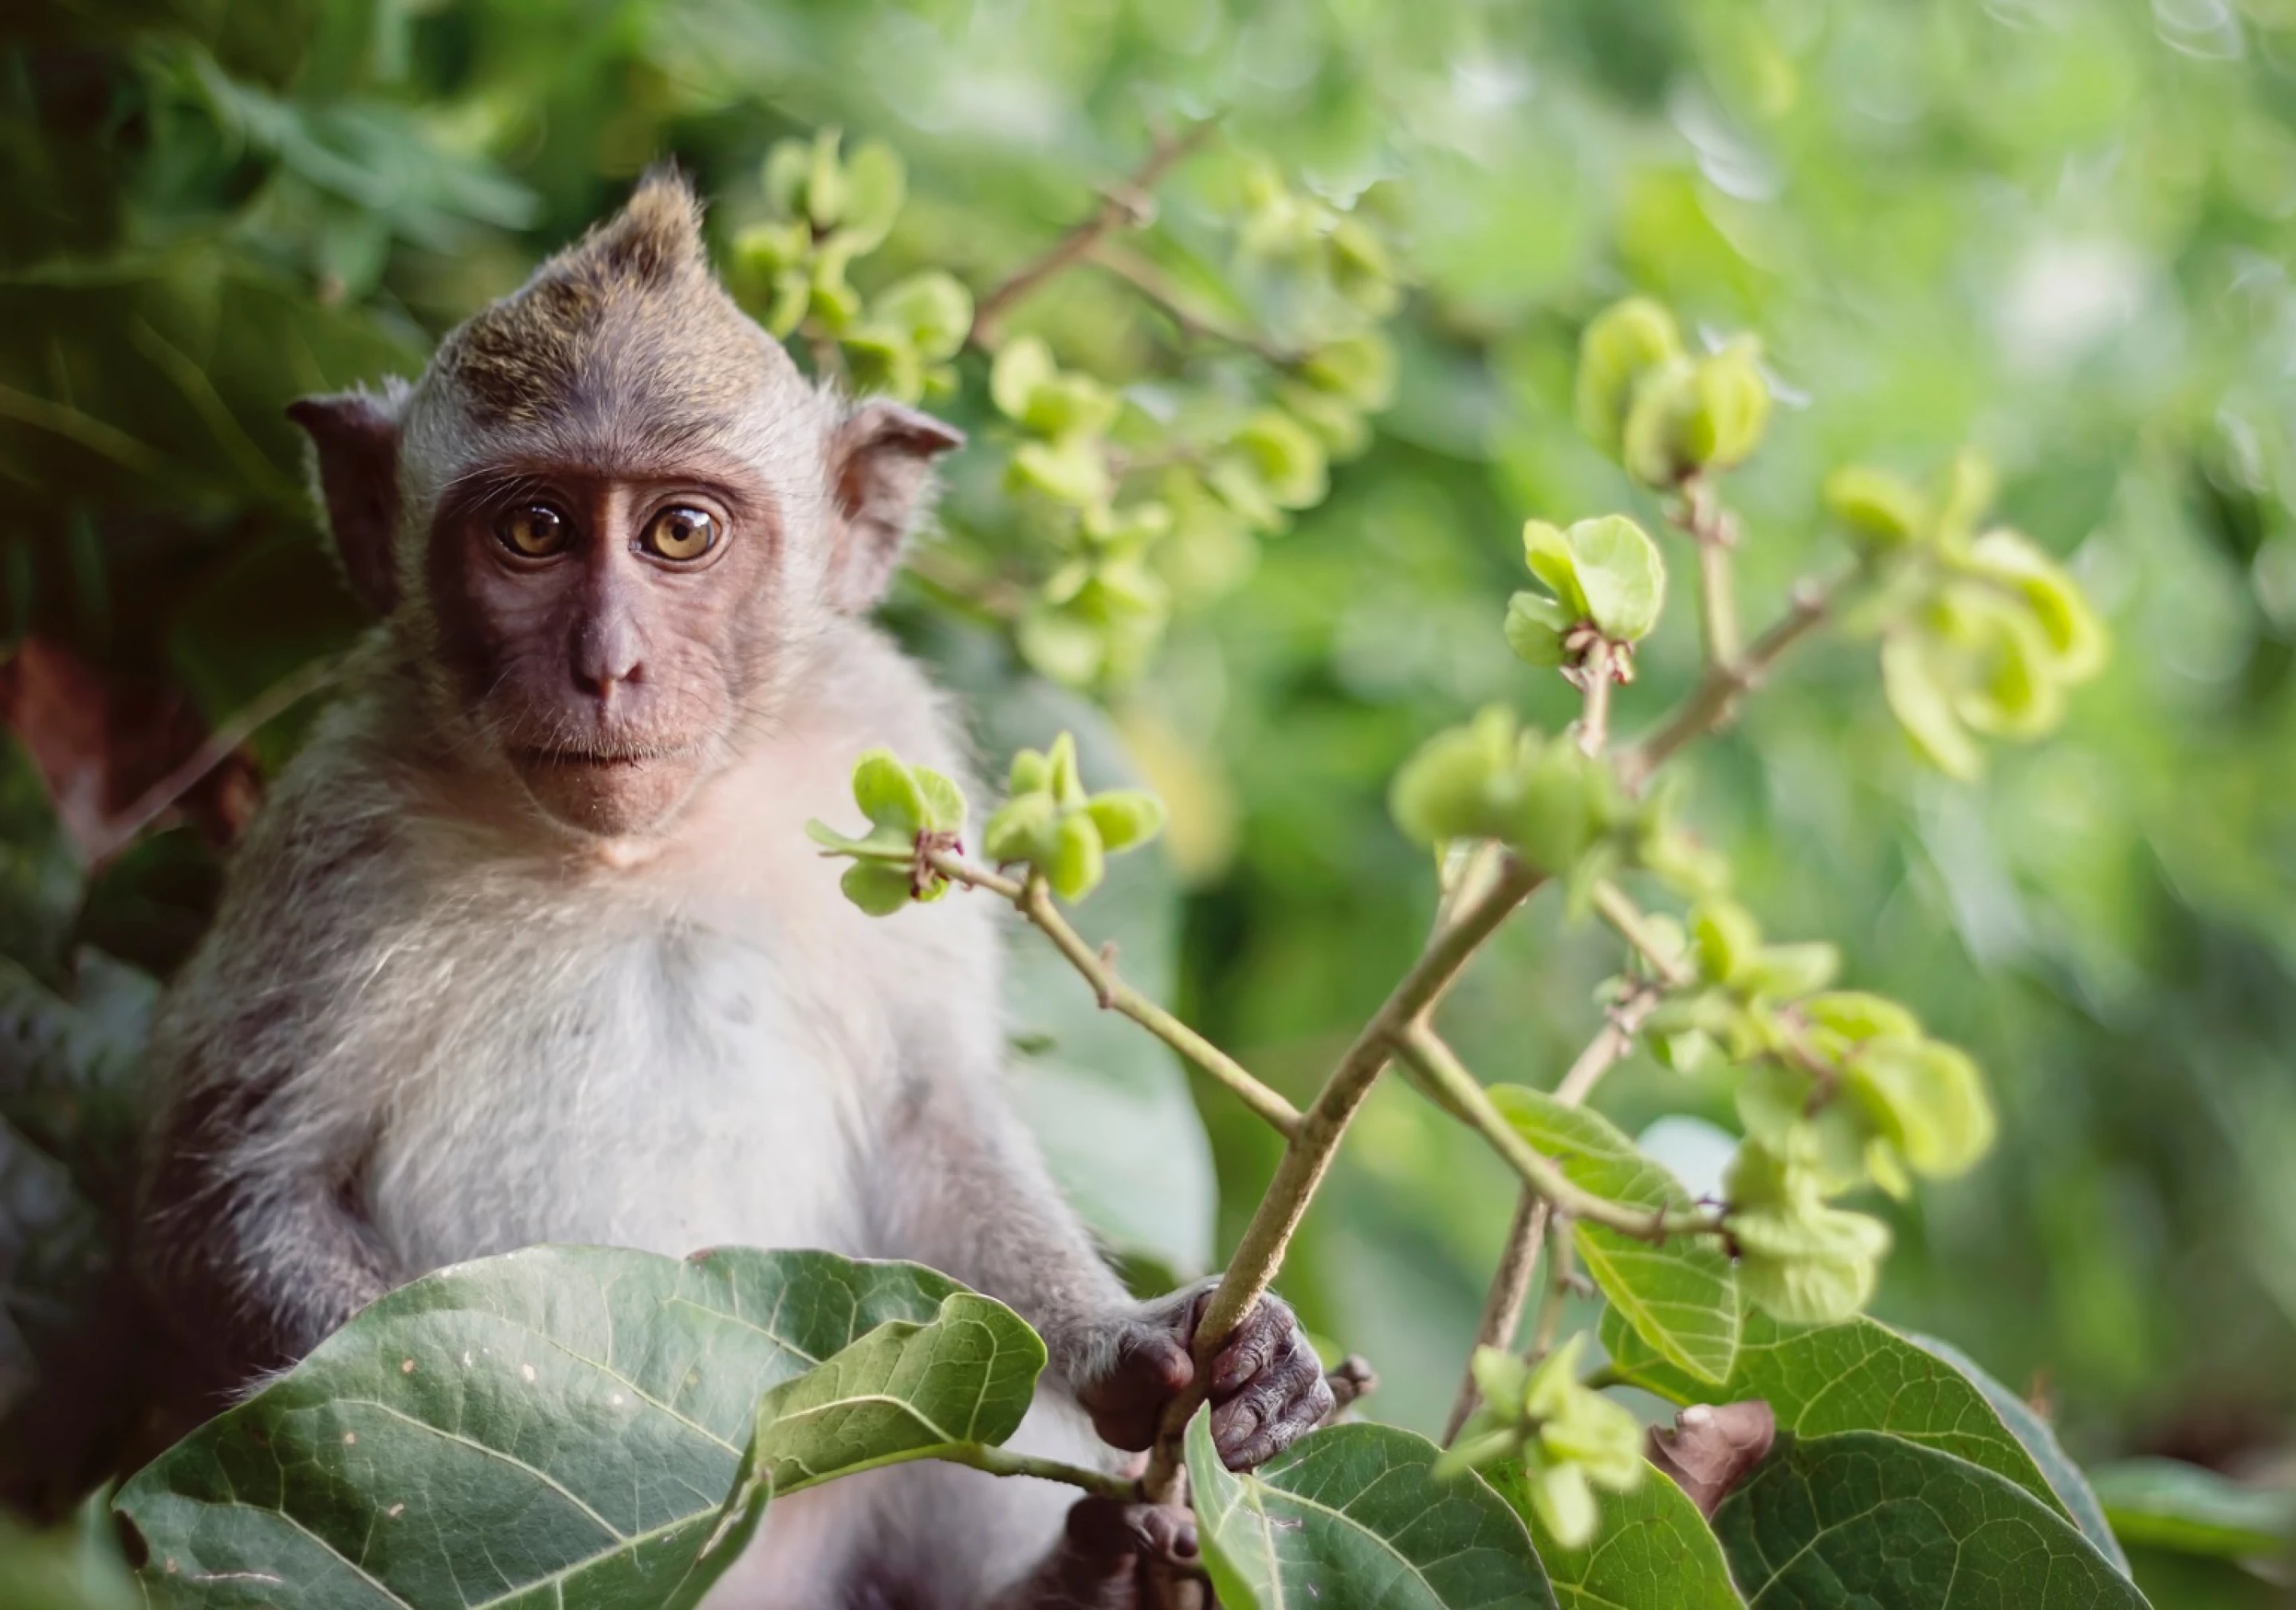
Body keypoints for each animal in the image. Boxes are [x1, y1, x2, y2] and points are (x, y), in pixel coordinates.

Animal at [134, 169, 1332, 1609]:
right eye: (533, 530)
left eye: (680, 532)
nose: (609, 664)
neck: (643, 851)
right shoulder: (338, 836)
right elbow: (232, 1203)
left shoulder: (884, 736)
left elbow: (930, 1124)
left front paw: (1150, 1343)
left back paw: (1080, 1581)